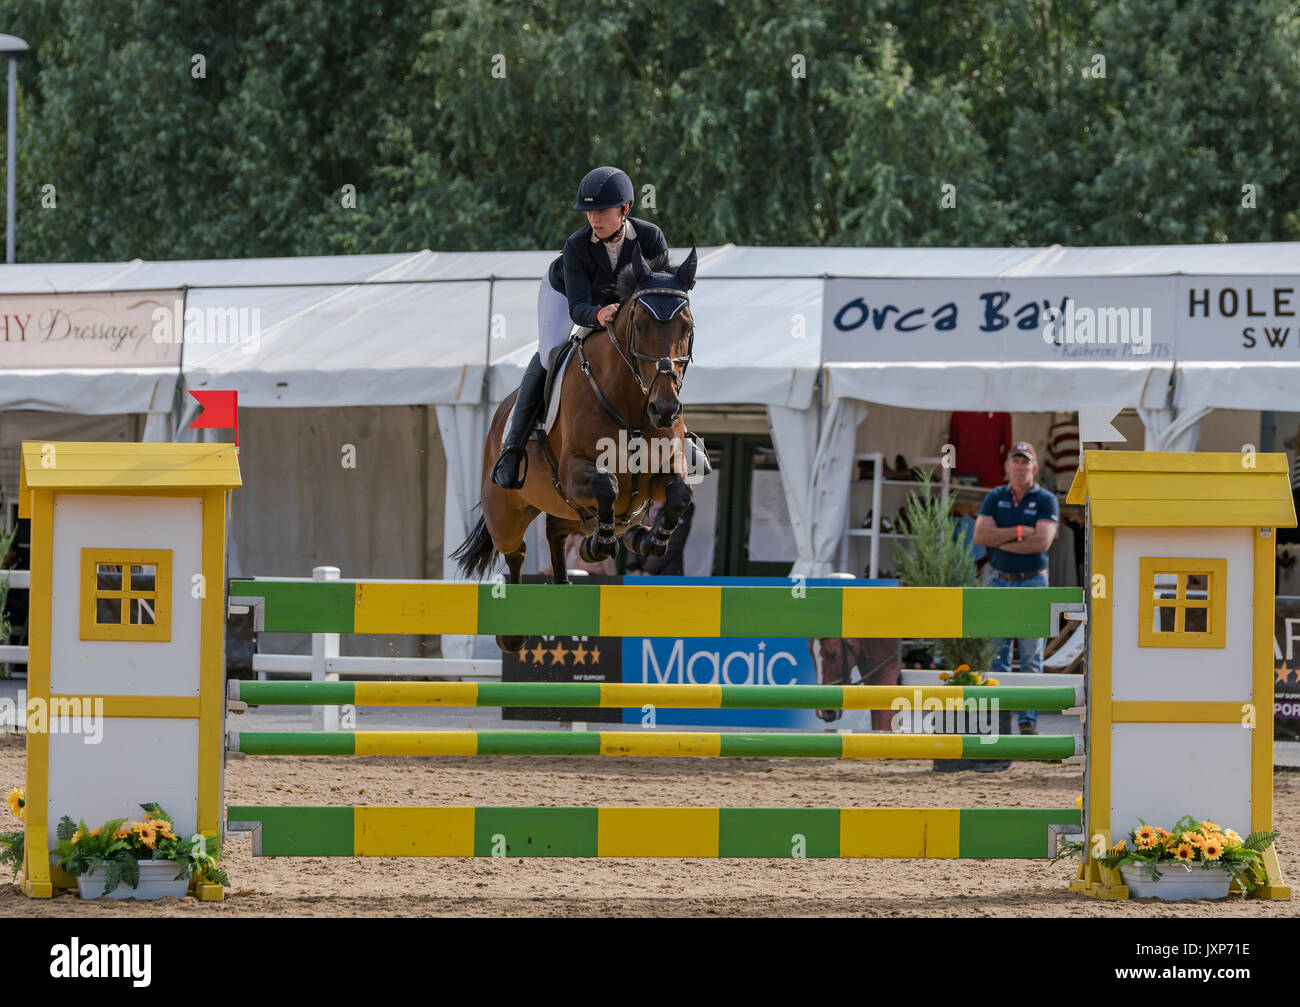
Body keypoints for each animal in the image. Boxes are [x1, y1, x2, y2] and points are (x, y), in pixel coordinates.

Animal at [452, 243, 698, 651]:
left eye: (687, 327)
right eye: (639, 325)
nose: (664, 410)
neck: (632, 402)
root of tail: (500, 417)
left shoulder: (660, 473)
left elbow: (679, 495)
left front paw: (648, 539)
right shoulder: (575, 472)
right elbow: (607, 484)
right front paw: (605, 544)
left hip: (565, 509)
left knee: (556, 530)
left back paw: (580, 567)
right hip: (506, 512)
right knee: (516, 551)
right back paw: (512, 634)